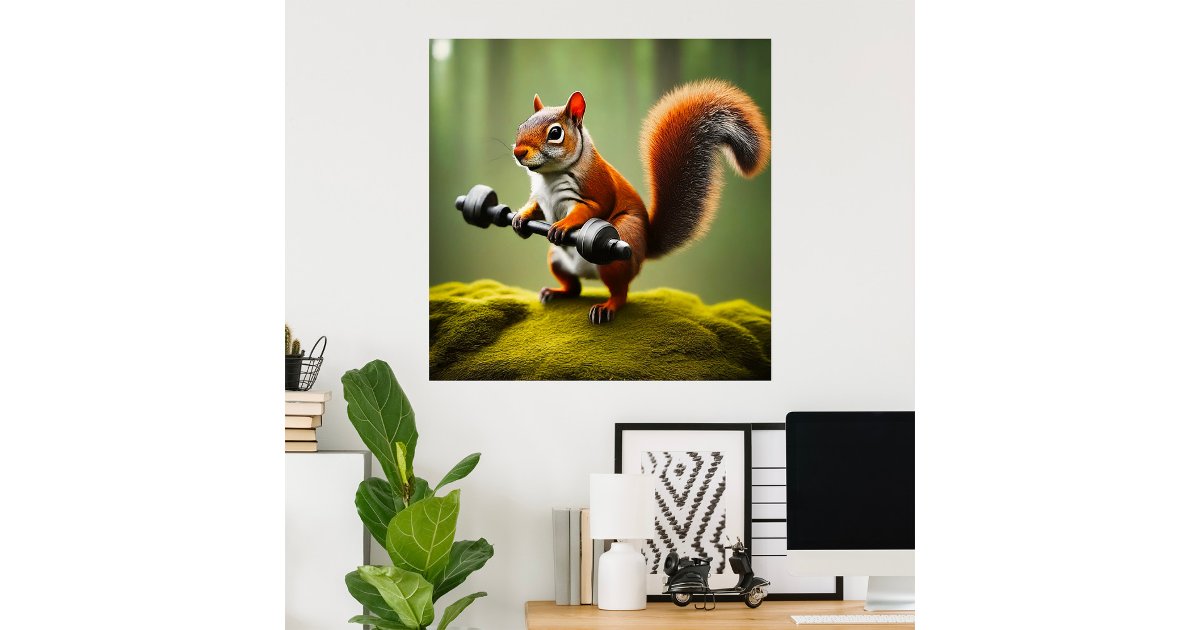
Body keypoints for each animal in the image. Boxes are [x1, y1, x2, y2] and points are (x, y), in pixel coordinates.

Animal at [510, 80, 770, 324]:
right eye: (521, 125)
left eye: (555, 133)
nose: (518, 152)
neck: (550, 176)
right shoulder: (541, 198)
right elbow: (535, 208)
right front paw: (521, 217)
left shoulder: (598, 188)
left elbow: (591, 209)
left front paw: (563, 224)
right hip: (556, 259)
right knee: (574, 288)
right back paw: (556, 292)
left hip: (616, 251)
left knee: (621, 293)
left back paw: (606, 308)